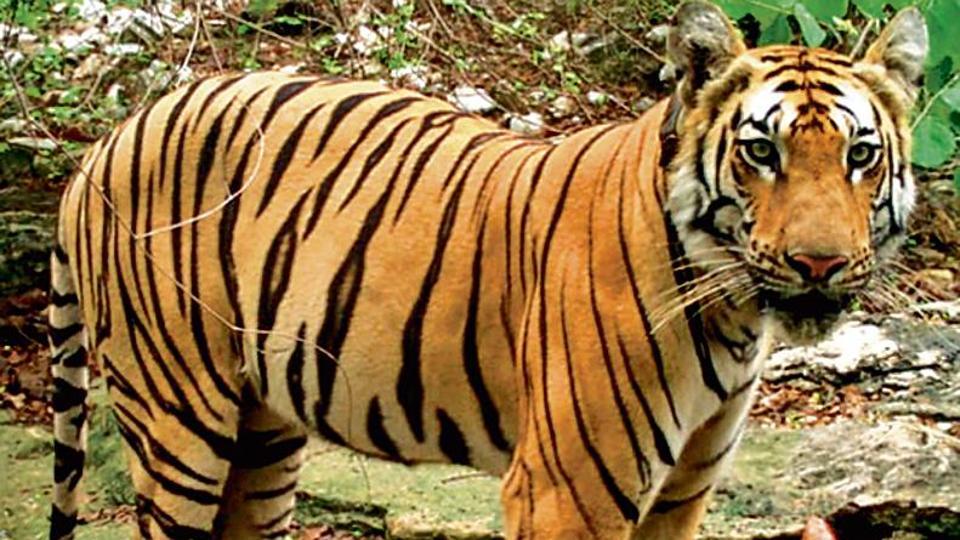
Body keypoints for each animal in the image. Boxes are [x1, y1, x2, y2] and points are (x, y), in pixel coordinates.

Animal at [47, 2, 927, 538]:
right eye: (760, 152)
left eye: (859, 155)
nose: (820, 263)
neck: (731, 315)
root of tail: (106, 141)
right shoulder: (568, 491)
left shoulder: (681, 495)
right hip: (178, 420)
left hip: (261, 437)